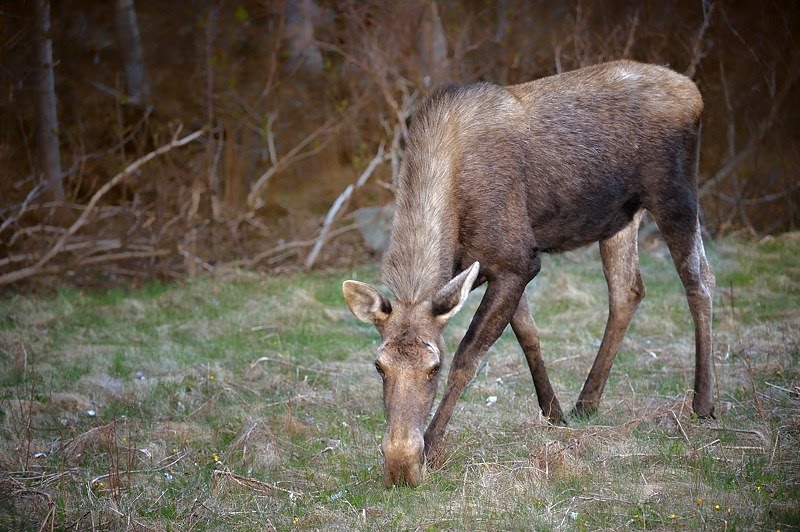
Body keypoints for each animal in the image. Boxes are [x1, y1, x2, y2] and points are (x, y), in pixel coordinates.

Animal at [342, 60, 715, 488]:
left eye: (434, 365)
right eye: (379, 365)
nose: (400, 466)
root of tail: (694, 94)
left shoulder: (517, 261)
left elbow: (470, 356)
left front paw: (432, 448)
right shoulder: (501, 268)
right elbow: (529, 335)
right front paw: (555, 412)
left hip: (675, 194)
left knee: (699, 281)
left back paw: (703, 403)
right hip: (620, 216)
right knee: (628, 291)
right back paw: (587, 401)